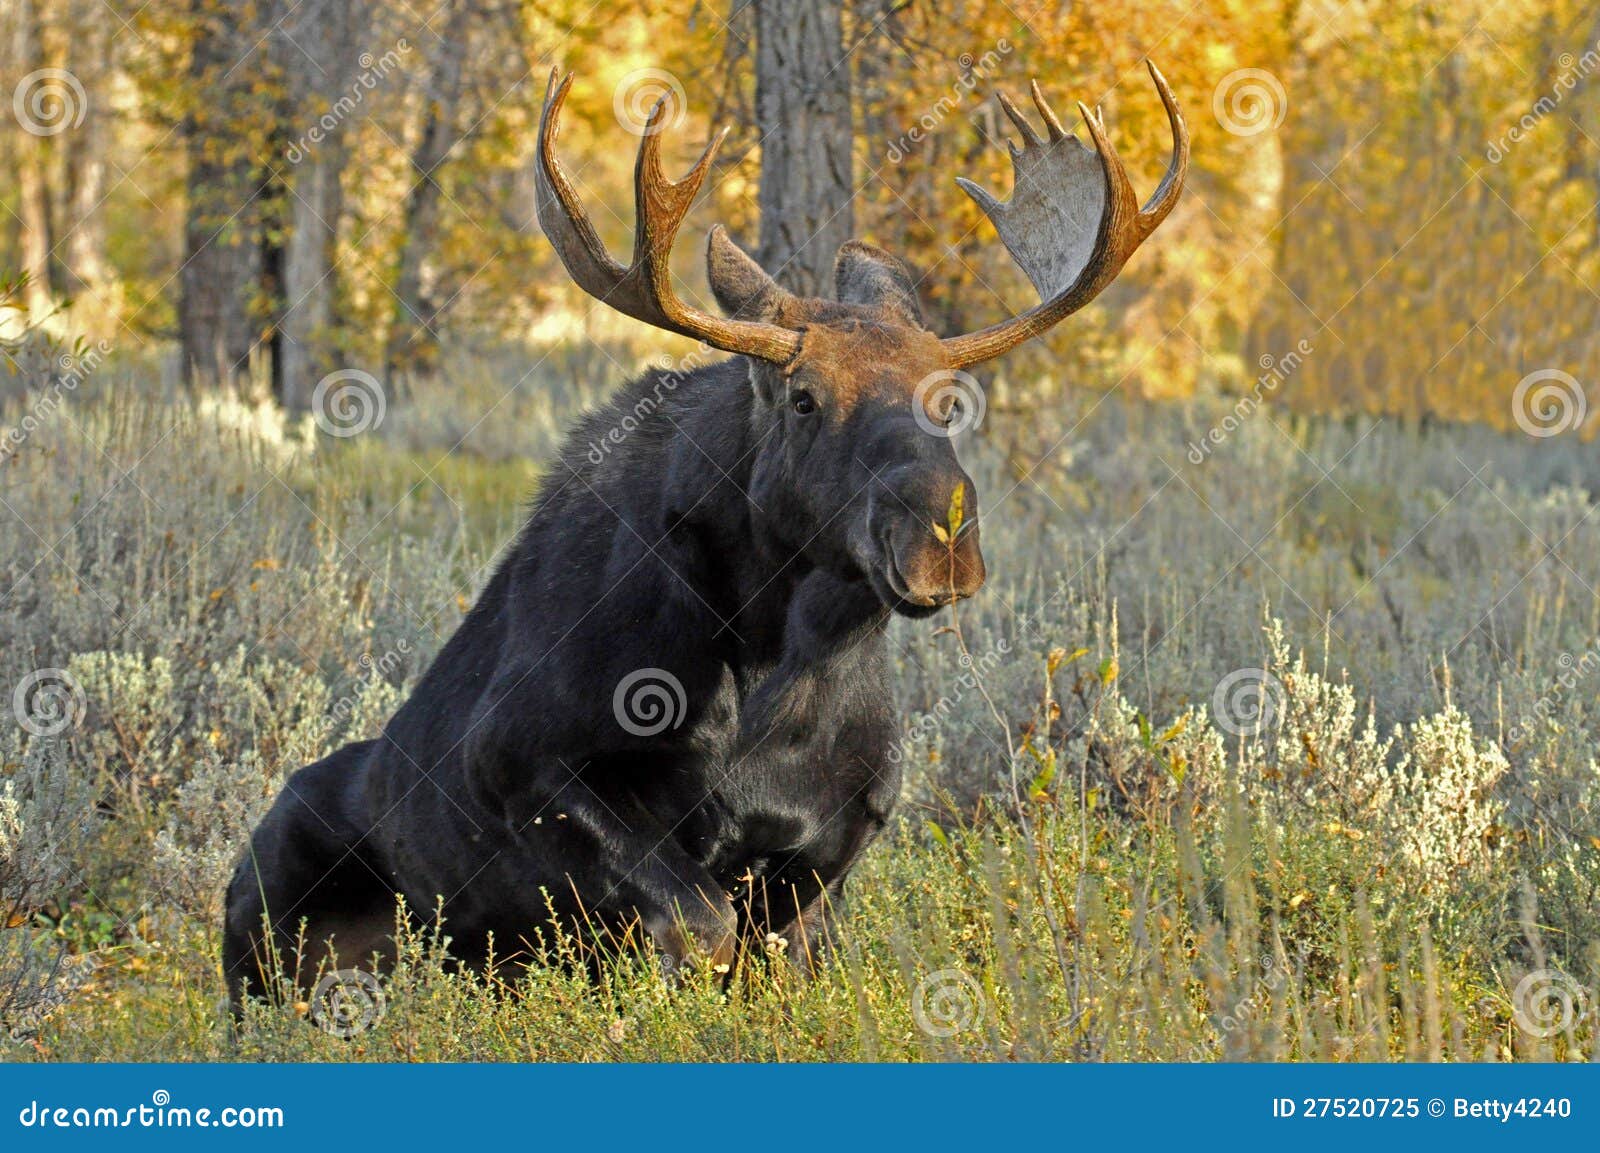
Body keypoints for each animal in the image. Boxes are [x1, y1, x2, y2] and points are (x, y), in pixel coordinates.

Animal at [223, 63, 1188, 1013]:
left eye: (949, 399)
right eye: (803, 397)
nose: (941, 532)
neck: (778, 673)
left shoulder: (844, 834)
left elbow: (784, 958)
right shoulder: (518, 762)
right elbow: (700, 922)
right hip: (267, 894)